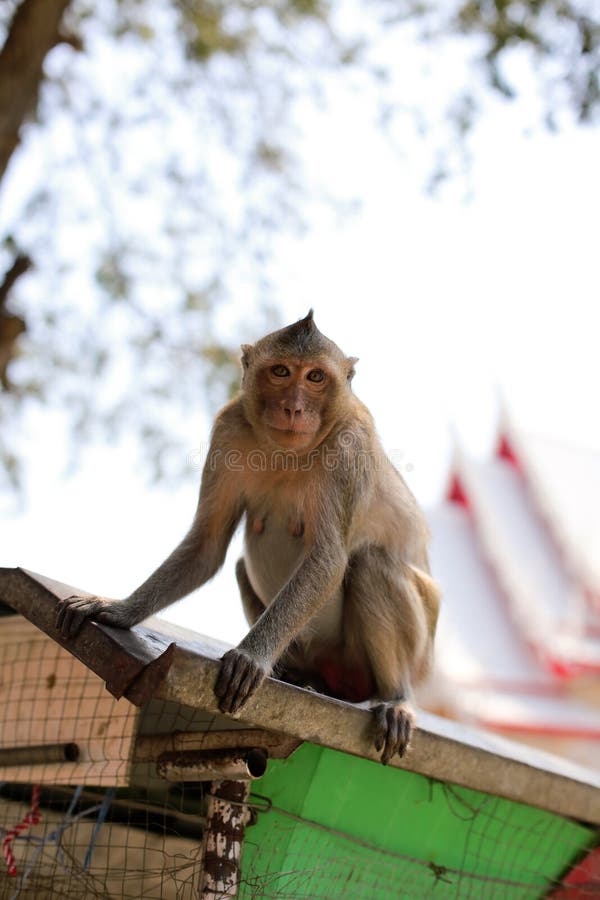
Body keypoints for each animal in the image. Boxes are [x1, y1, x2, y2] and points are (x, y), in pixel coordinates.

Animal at [56, 311, 440, 763]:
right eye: (280, 371)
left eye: (315, 377)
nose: (293, 407)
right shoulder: (229, 428)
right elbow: (207, 544)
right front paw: (117, 609)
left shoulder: (350, 447)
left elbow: (329, 559)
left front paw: (251, 656)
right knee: (244, 566)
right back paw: (300, 675)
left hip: (410, 656)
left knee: (371, 564)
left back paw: (395, 697)